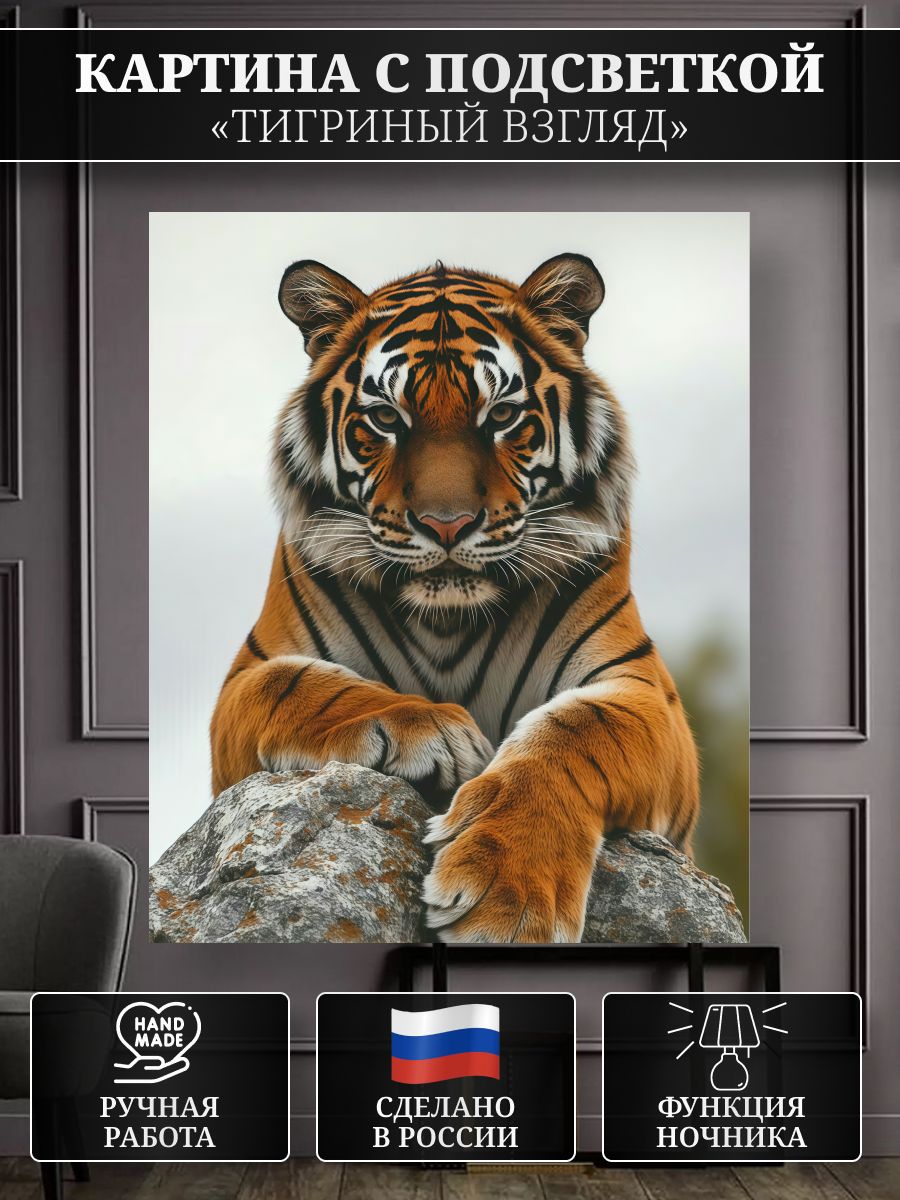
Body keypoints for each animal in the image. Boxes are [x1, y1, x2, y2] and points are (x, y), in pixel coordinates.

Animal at [209, 252, 699, 943]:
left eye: (501, 416)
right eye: (387, 418)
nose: (447, 525)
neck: (448, 622)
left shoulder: (643, 691)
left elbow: (578, 729)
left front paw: (506, 896)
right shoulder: (247, 677)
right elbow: (301, 682)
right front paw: (439, 731)